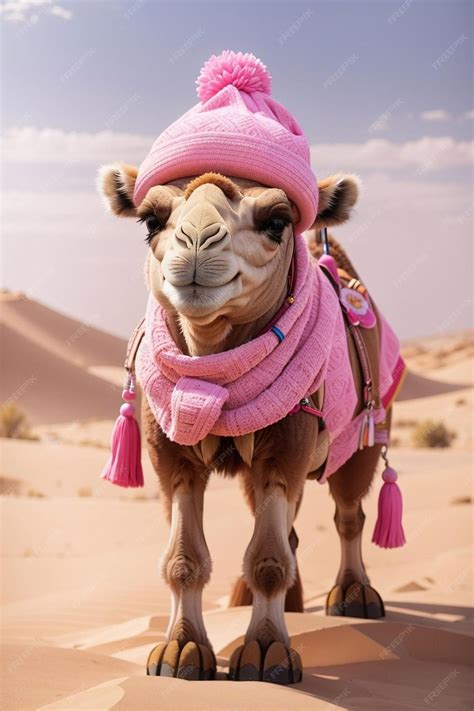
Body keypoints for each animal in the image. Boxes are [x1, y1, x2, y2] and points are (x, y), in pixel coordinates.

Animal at [98, 166, 402, 685]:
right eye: (150, 220)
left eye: (277, 221)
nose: (197, 240)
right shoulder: (171, 455)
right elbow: (183, 559)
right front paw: (180, 651)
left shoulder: (286, 446)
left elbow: (269, 561)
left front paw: (266, 652)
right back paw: (261, 600)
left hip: (364, 432)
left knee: (349, 513)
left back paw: (354, 597)